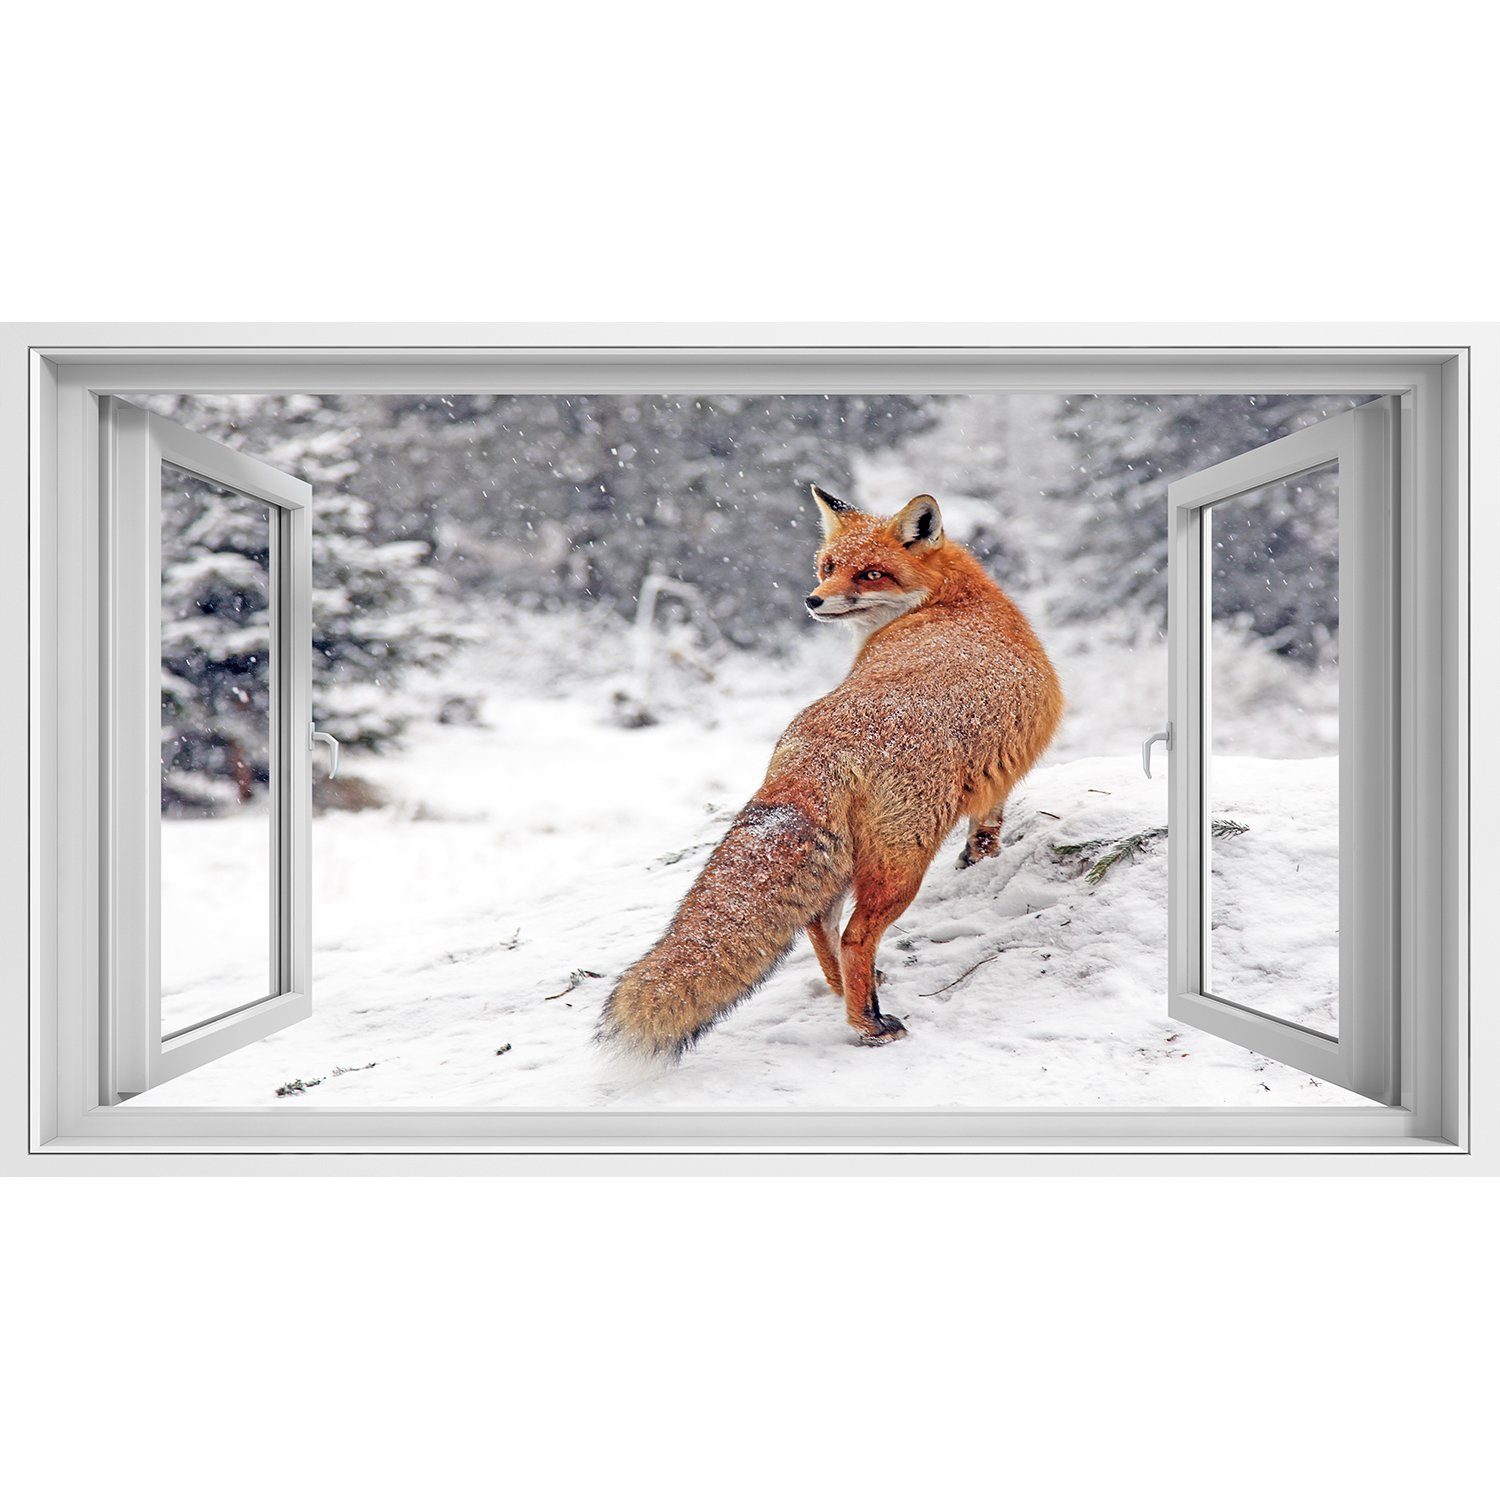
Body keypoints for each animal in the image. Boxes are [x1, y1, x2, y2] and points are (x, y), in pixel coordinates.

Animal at [598, 482, 1063, 1058]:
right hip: (901, 864)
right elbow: (988, 829)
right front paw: (981, 862)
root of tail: (824, 746)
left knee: (818, 925)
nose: (813, 599)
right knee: (853, 935)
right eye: (830, 566)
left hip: (846, 859)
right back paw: (870, 1023)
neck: (951, 602)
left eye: (870, 573)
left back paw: (844, 990)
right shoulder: (999, 779)